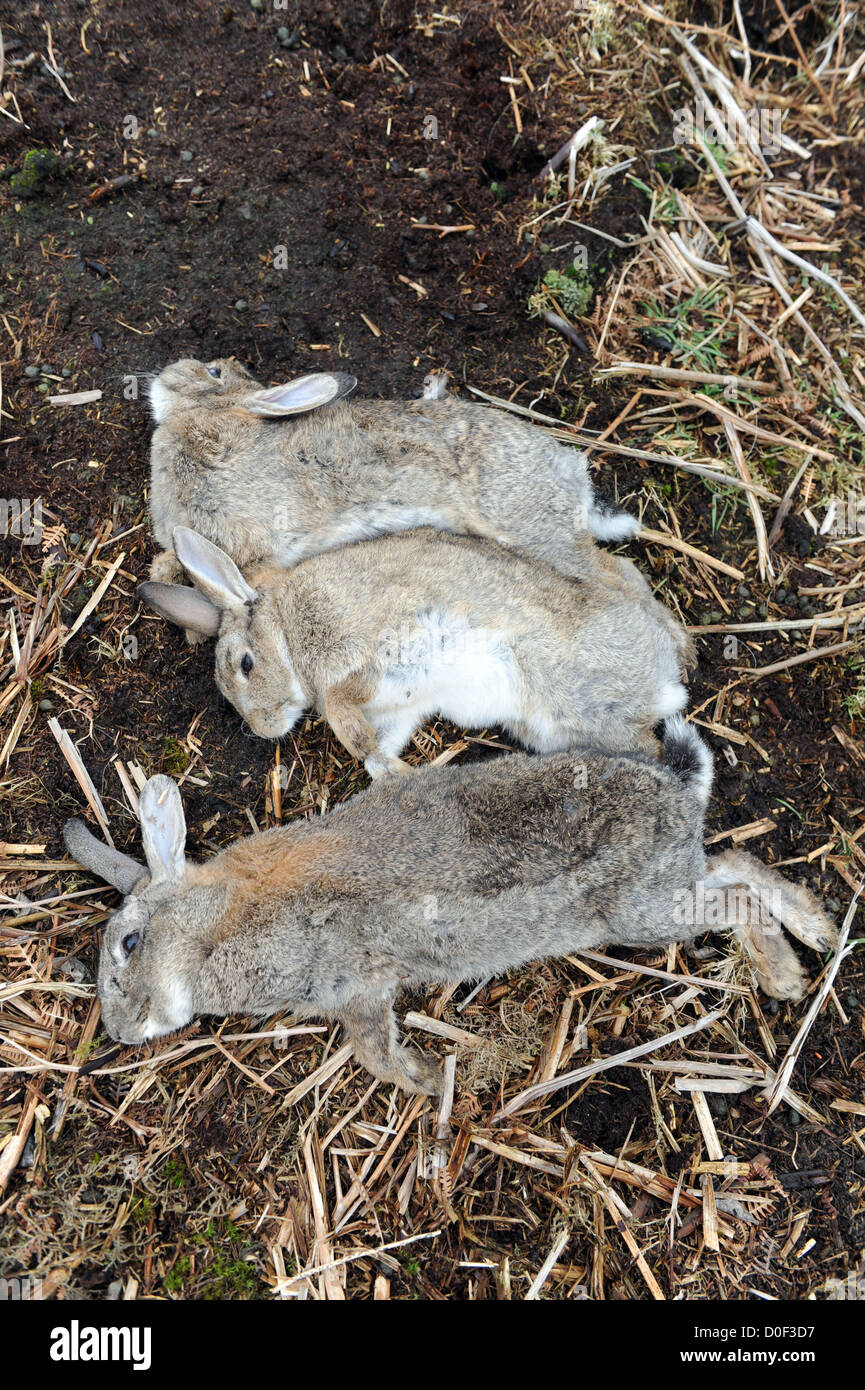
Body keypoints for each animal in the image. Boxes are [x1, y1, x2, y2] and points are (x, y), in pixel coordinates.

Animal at [65, 719, 837, 1096]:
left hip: (641, 912)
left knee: (733, 899)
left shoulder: (354, 984)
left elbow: (375, 1054)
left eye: (128, 944)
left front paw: (430, 1082)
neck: (214, 926)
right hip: (671, 881)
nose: (121, 1033)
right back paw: (819, 933)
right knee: (735, 864)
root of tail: (677, 790)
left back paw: (783, 976)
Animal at [138, 524, 694, 775]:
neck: (289, 634)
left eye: (246, 664)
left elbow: (341, 707)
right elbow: (378, 745)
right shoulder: (402, 709)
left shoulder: (375, 650)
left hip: (585, 705)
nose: (262, 729)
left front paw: (394, 768)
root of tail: (665, 682)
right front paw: (393, 772)